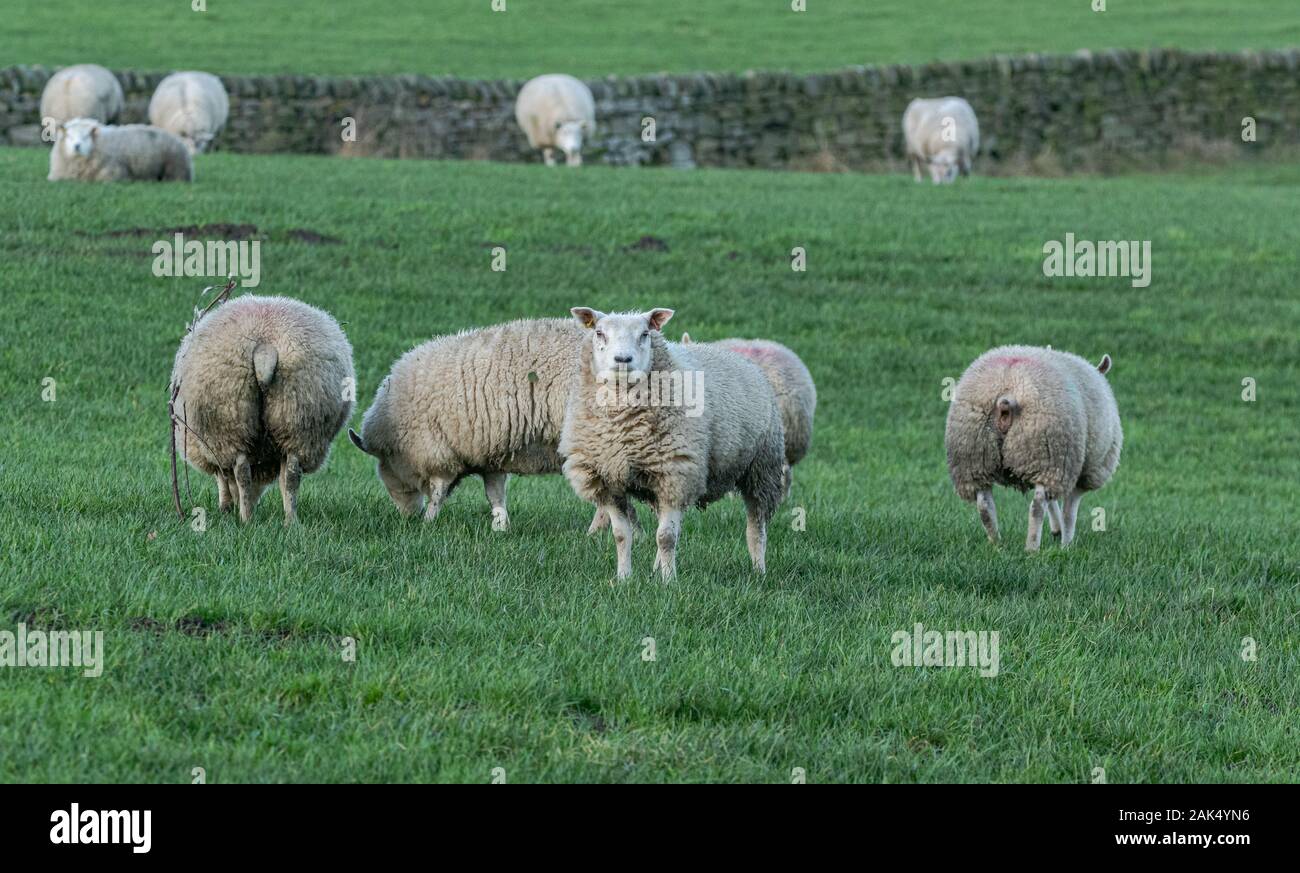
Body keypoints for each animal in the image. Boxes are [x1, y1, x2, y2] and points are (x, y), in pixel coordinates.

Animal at [170, 295, 355, 524]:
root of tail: (265, 346)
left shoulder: (211, 448)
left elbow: (221, 478)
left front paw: (225, 507)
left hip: (228, 423)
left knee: (242, 472)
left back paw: (246, 518)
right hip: (298, 417)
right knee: (291, 475)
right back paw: (290, 521)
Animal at [348, 318, 589, 530]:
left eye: (384, 471)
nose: (408, 517)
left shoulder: (439, 453)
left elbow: (437, 494)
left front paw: (427, 524)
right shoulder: (491, 455)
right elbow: (495, 495)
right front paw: (500, 527)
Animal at [560, 308, 786, 580]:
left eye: (645, 334)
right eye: (599, 333)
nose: (622, 359)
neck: (624, 431)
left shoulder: (675, 473)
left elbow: (666, 537)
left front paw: (668, 581)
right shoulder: (607, 480)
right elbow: (622, 536)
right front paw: (624, 578)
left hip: (762, 467)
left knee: (756, 526)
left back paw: (758, 570)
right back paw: (657, 567)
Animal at [944, 345, 1122, 551]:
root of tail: (1007, 396)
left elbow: (1054, 502)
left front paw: (1057, 531)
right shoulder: (1085, 472)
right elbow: (1070, 511)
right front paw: (1066, 544)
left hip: (974, 457)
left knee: (984, 504)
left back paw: (997, 544)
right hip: (1050, 452)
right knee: (1037, 506)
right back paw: (1032, 547)